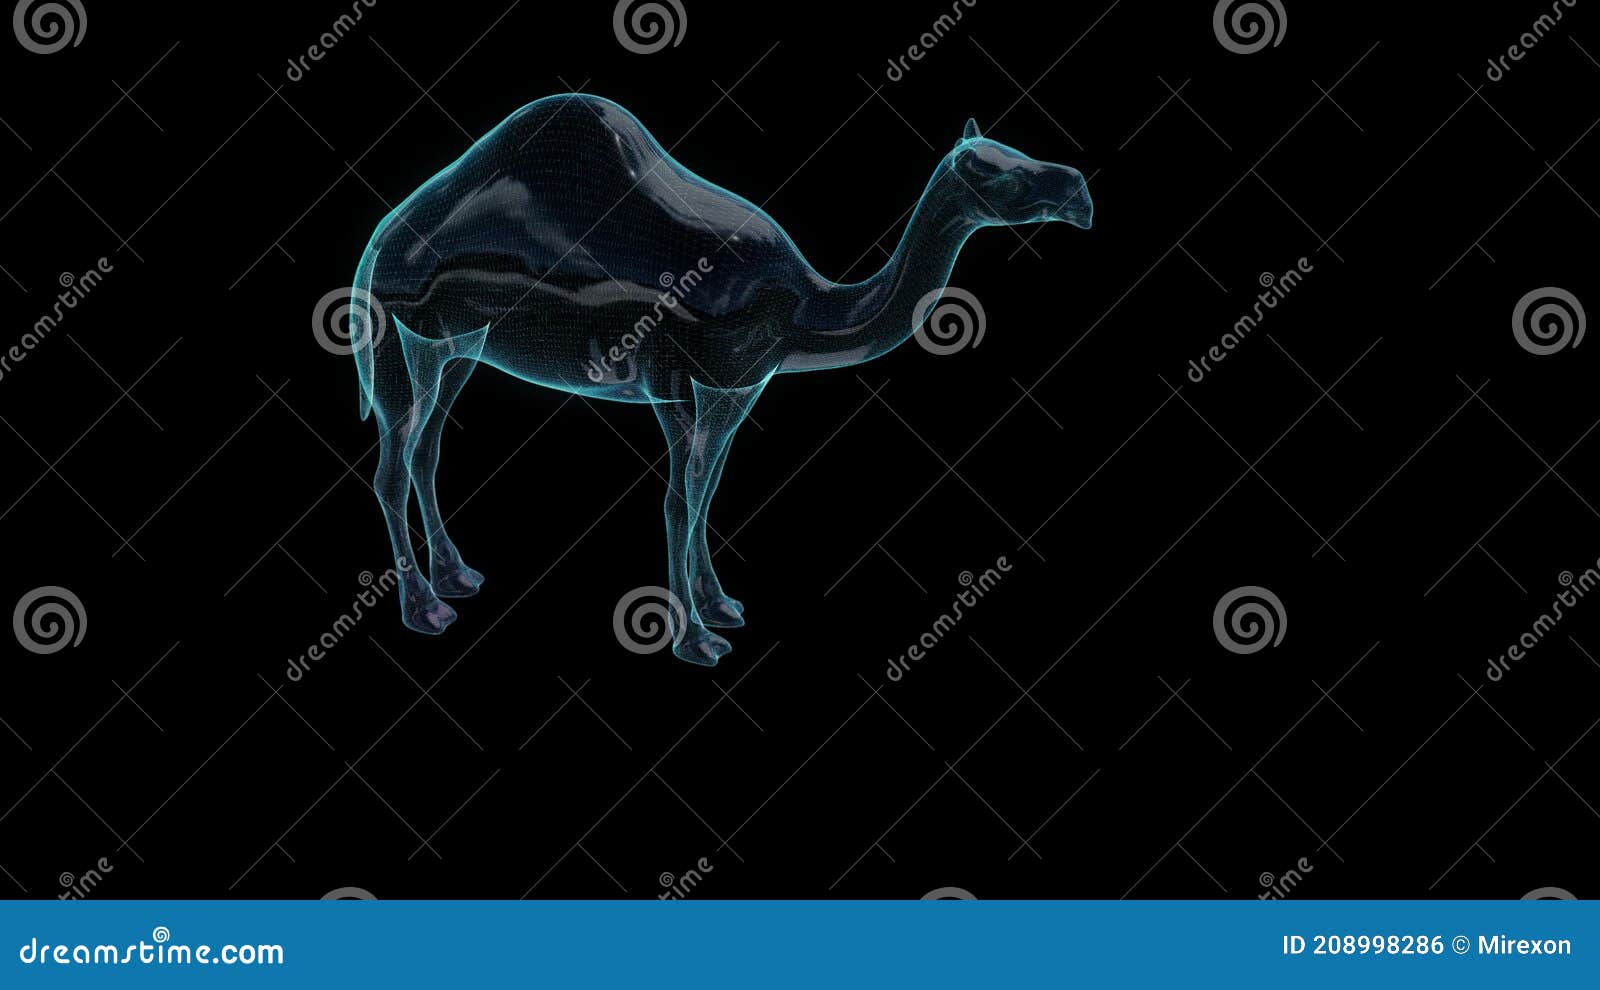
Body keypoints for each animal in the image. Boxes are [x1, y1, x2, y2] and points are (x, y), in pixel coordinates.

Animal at [349, 93, 1091, 665]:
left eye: (1019, 150)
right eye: (998, 172)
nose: (1079, 193)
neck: (799, 308)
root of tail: (376, 243)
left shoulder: (727, 386)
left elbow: (706, 490)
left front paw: (720, 605)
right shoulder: (686, 380)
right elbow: (680, 500)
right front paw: (693, 639)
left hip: (457, 342)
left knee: (426, 447)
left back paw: (456, 574)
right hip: (400, 334)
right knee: (391, 463)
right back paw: (425, 609)